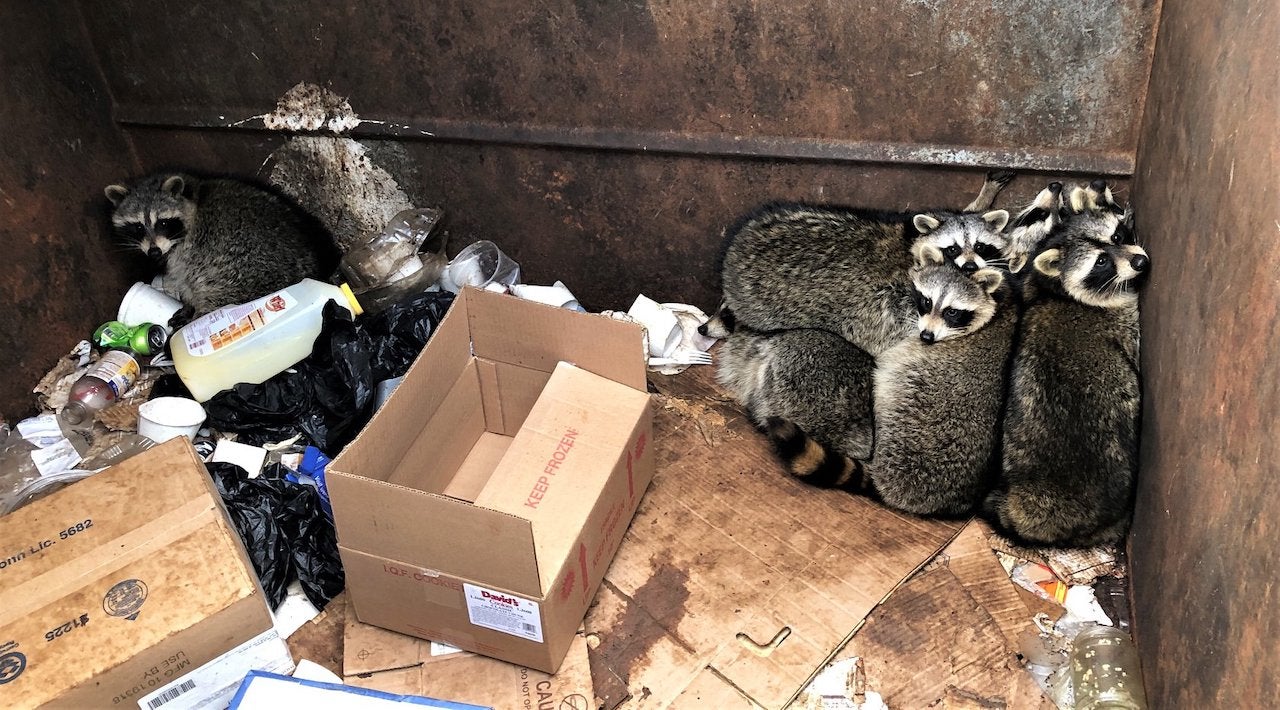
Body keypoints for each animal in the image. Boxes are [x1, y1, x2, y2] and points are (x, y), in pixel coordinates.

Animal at [105, 172, 340, 325]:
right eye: (138, 227)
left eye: (163, 223)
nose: (153, 252)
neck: (194, 197)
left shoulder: (189, 253)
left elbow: (187, 278)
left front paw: (190, 304)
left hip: (239, 272)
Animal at [984, 192, 1149, 547]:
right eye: (1101, 262)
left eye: (1117, 237)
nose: (1141, 262)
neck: (1058, 291)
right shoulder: (1122, 318)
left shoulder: (1030, 283)